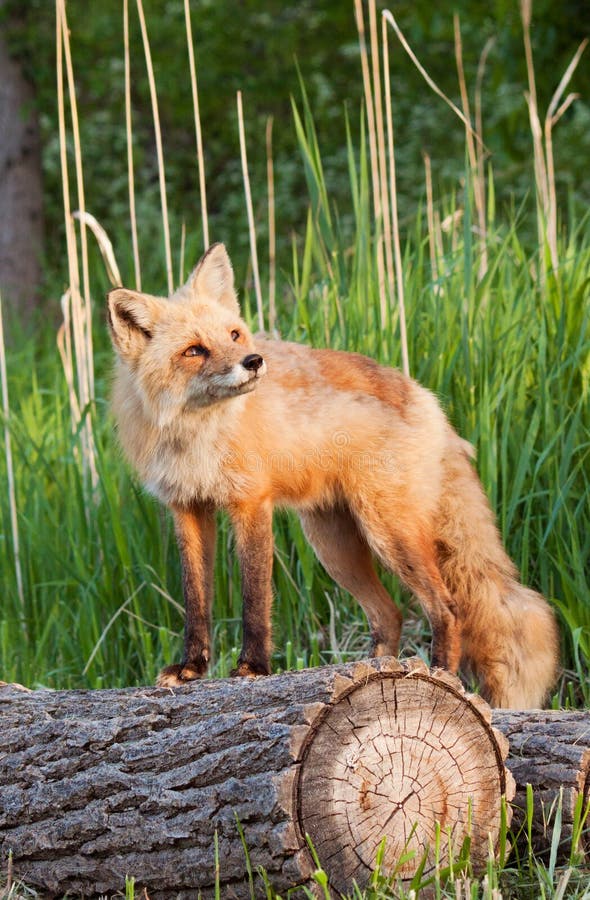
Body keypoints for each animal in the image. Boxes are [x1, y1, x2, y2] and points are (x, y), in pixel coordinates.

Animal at [107, 242, 559, 708]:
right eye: (194, 350)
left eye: (233, 335)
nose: (254, 361)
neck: (197, 435)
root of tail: (425, 397)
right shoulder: (187, 508)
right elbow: (195, 599)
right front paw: (191, 668)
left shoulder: (251, 502)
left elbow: (255, 598)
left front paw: (253, 668)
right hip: (335, 545)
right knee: (390, 614)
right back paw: (373, 674)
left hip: (389, 532)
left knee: (447, 608)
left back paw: (439, 674)